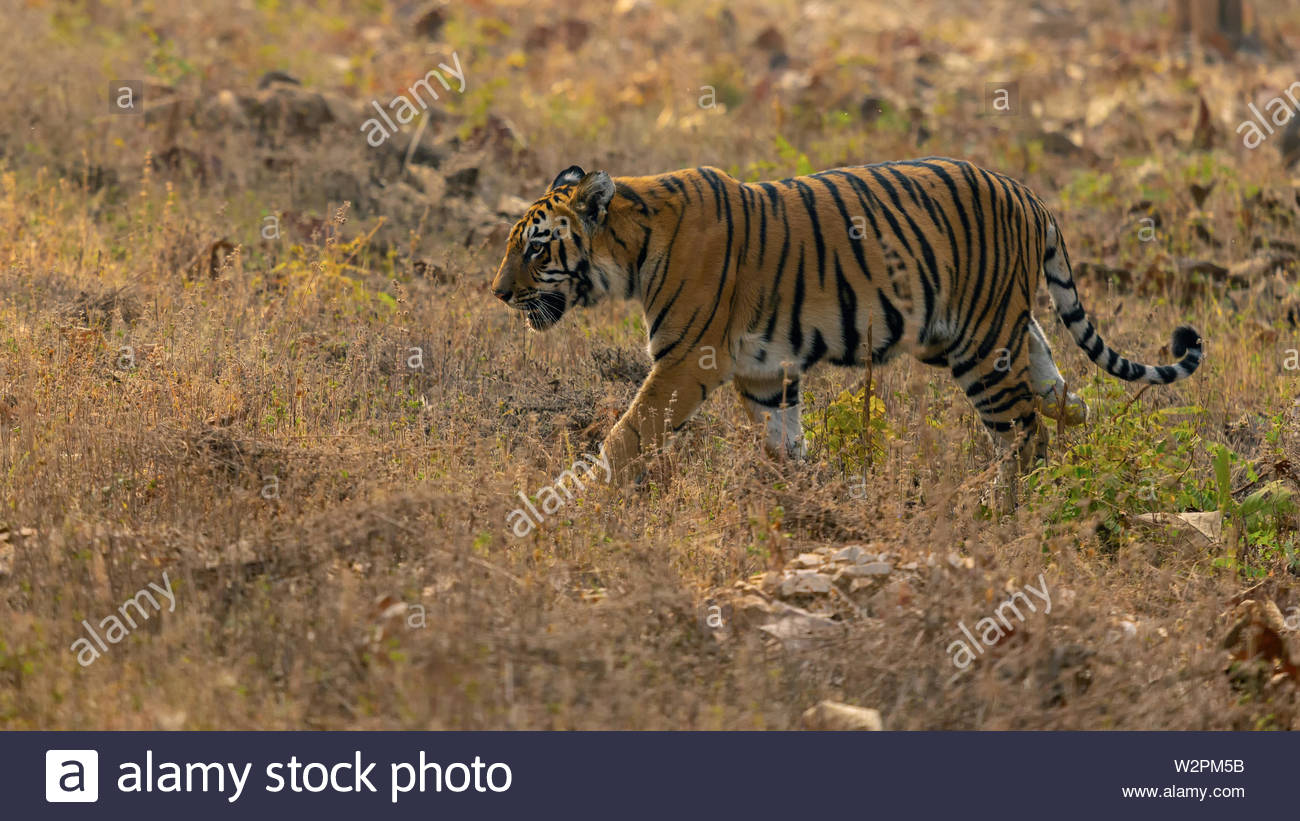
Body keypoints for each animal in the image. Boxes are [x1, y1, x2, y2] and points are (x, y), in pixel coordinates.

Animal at [490, 158, 1203, 493]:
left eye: (536, 248)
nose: (497, 293)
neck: (632, 248)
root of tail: (1029, 194)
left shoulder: (686, 362)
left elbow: (626, 436)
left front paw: (575, 499)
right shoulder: (763, 372)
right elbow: (784, 442)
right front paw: (803, 496)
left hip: (977, 345)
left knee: (1024, 437)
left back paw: (998, 506)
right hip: (966, 329)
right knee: (1045, 368)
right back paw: (1073, 406)